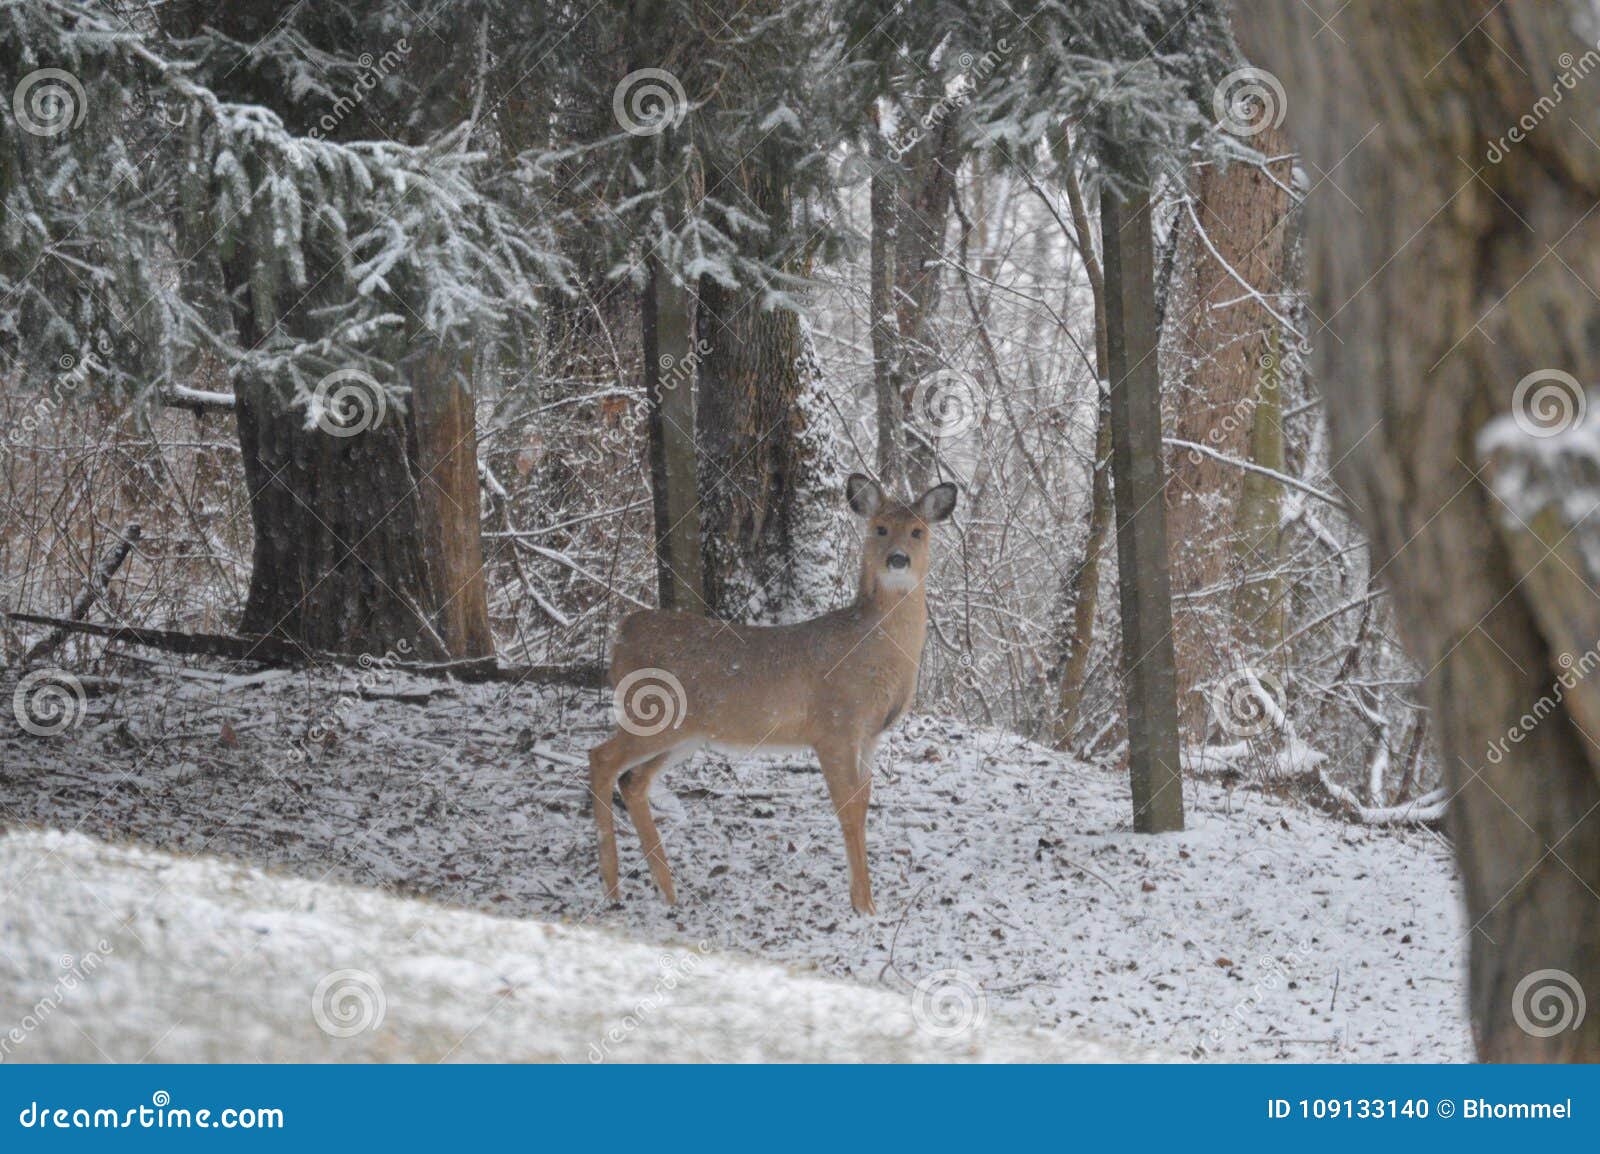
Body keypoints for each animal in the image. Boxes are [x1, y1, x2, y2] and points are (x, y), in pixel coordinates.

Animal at [588, 473, 958, 916]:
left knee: (633, 781)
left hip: (685, 733)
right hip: (652, 714)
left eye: (918, 531)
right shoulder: (833, 727)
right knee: (601, 759)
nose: (898, 559)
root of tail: (623, 634)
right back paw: (612, 889)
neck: (871, 649)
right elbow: (848, 810)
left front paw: (865, 900)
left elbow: (864, 804)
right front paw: (863, 906)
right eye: (880, 528)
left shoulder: (869, 735)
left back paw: (668, 891)